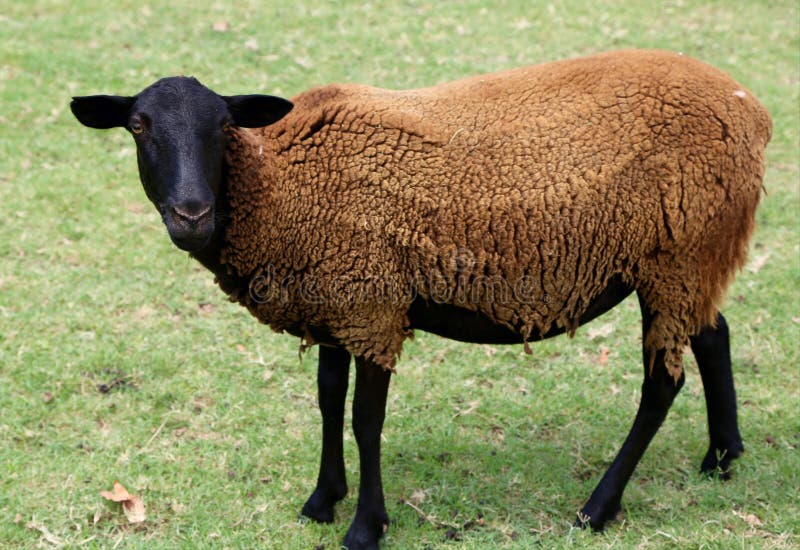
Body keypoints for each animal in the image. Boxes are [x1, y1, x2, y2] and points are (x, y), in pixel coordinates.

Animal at [70, 49, 771, 549]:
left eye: (222, 124)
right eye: (138, 125)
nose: (192, 213)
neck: (281, 181)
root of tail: (751, 109)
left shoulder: (371, 305)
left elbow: (365, 419)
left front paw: (365, 528)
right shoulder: (336, 301)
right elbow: (327, 401)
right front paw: (322, 501)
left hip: (678, 254)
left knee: (662, 383)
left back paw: (598, 508)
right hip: (693, 258)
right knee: (714, 335)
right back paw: (722, 458)